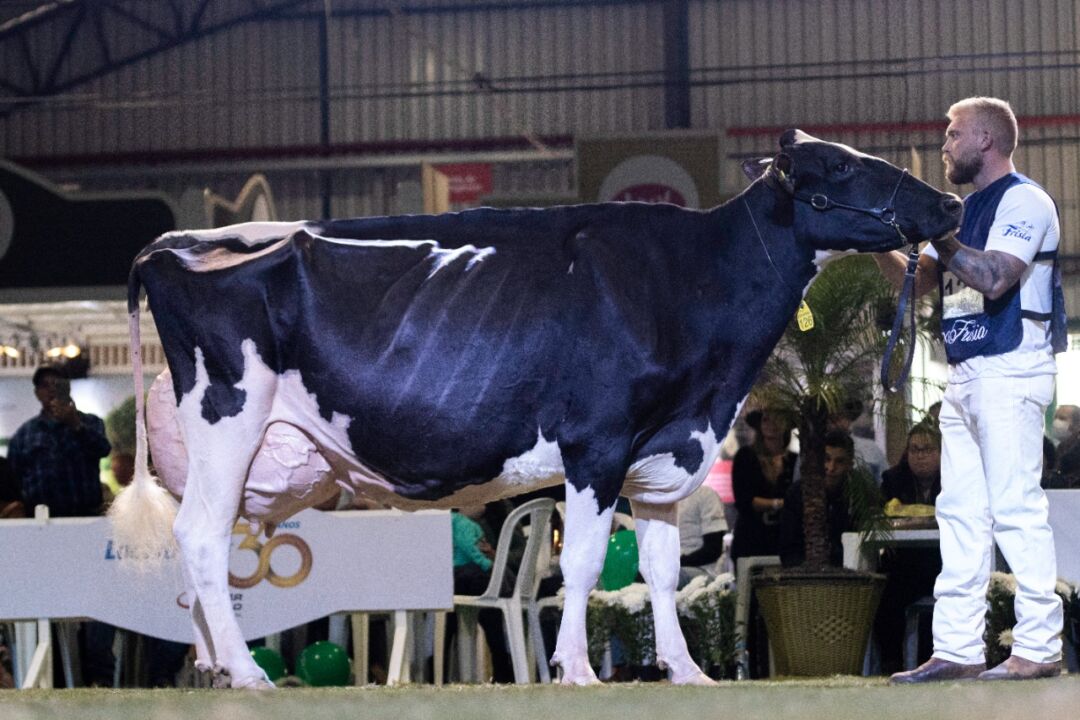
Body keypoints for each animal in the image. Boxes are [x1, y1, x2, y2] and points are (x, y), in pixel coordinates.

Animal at [110, 130, 962, 688]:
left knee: (205, 551)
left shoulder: (666, 451)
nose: (951, 201)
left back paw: (217, 666)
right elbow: (582, 564)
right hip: (226, 418)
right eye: (843, 165)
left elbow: (659, 572)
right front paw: (576, 669)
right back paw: (247, 672)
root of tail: (171, 243)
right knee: (201, 539)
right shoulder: (598, 443)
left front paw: (686, 672)